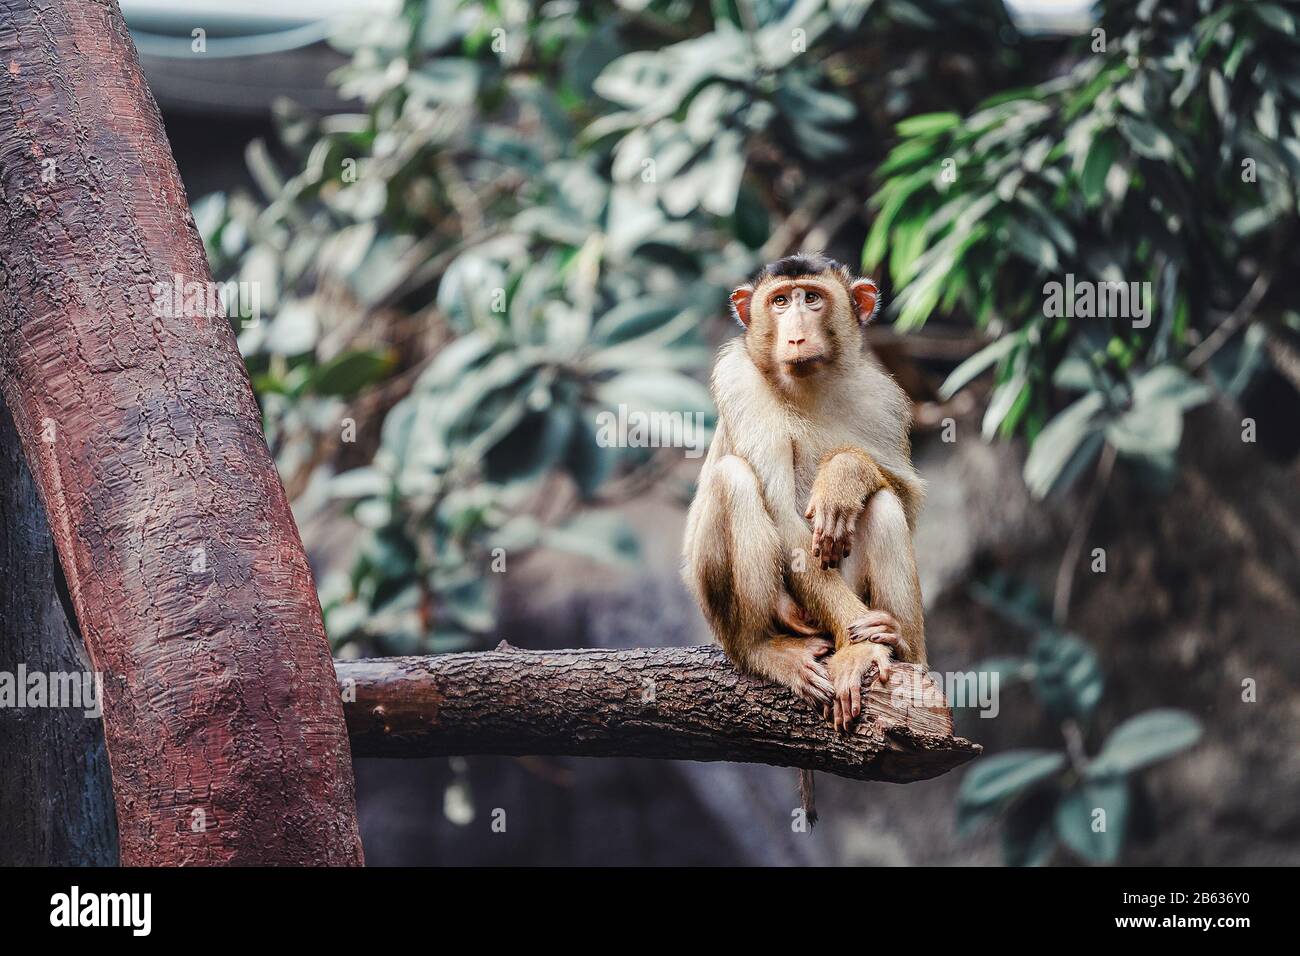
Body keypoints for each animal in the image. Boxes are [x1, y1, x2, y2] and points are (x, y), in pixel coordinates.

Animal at [682, 252, 926, 824]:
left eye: (811, 298)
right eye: (779, 301)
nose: (795, 334)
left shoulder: (885, 398)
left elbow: (901, 498)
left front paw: (845, 475)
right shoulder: (739, 381)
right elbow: (782, 516)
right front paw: (860, 655)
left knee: (882, 506)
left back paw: (899, 642)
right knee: (733, 479)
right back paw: (765, 648)